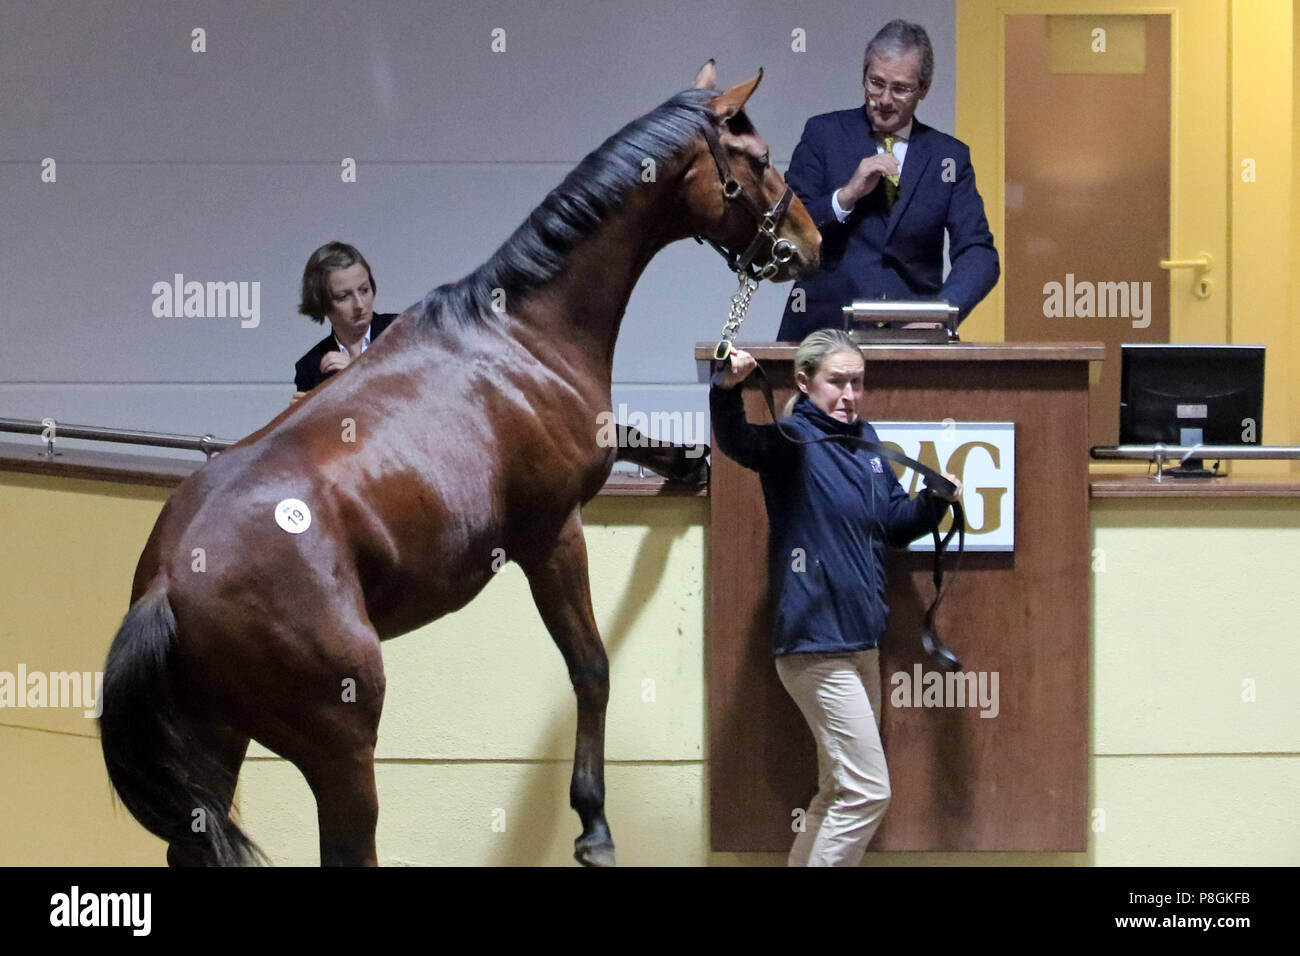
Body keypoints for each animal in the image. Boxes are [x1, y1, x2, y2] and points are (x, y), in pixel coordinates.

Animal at [99, 61, 821, 867]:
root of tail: (168, 582)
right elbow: (591, 669)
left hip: (217, 747)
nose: (811, 239)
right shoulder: (551, 537)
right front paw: (593, 824)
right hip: (339, 745)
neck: (518, 330)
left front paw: (692, 460)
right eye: (758, 158)